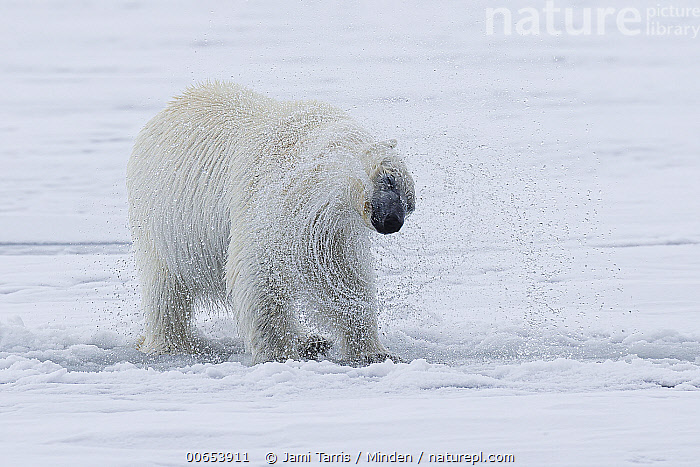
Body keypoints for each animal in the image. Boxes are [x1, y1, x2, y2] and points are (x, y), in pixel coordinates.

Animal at [126, 81, 415, 365]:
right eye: (389, 179)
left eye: (409, 201)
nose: (393, 221)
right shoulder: (269, 197)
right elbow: (260, 273)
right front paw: (278, 354)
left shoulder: (326, 222)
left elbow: (340, 275)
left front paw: (374, 351)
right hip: (164, 218)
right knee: (166, 287)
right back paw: (169, 343)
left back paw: (311, 340)